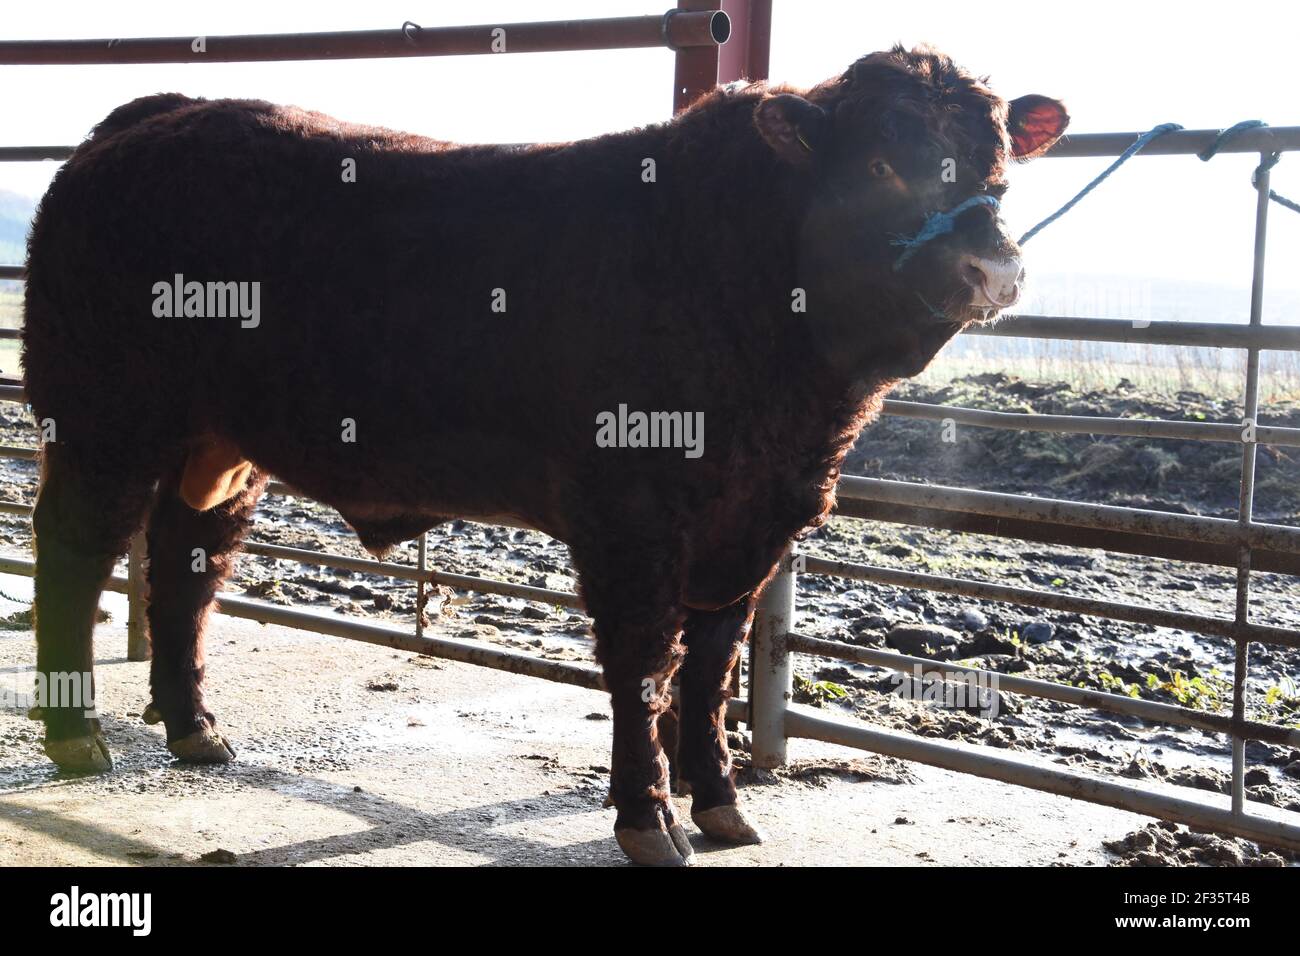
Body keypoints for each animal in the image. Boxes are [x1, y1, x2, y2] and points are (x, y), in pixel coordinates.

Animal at [21, 44, 1066, 866]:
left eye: (1000, 166)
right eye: (883, 162)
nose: (992, 267)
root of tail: (160, 114)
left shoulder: (756, 523)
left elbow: (712, 667)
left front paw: (722, 804)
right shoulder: (633, 514)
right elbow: (646, 662)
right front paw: (649, 819)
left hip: (218, 448)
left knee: (185, 566)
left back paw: (194, 727)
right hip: (104, 417)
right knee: (75, 552)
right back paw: (77, 734)